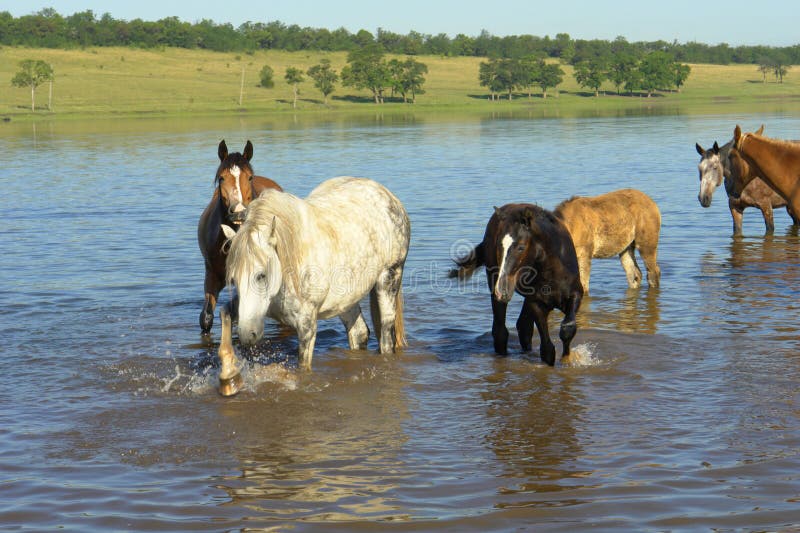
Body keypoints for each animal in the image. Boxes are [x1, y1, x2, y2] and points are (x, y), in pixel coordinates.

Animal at [215, 177, 410, 396]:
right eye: (233, 279)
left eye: (261, 275)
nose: (247, 334)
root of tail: (389, 196)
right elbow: (224, 312)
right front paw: (229, 378)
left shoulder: (306, 325)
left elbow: (303, 367)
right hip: (346, 299)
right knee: (358, 332)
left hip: (389, 278)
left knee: (385, 333)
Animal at [448, 204, 583, 365]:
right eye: (499, 245)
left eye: (521, 247)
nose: (502, 289)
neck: (552, 272)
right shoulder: (536, 303)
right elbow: (547, 350)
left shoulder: (575, 294)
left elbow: (567, 329)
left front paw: (567, 359)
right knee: (501, 331)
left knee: (523, 327)